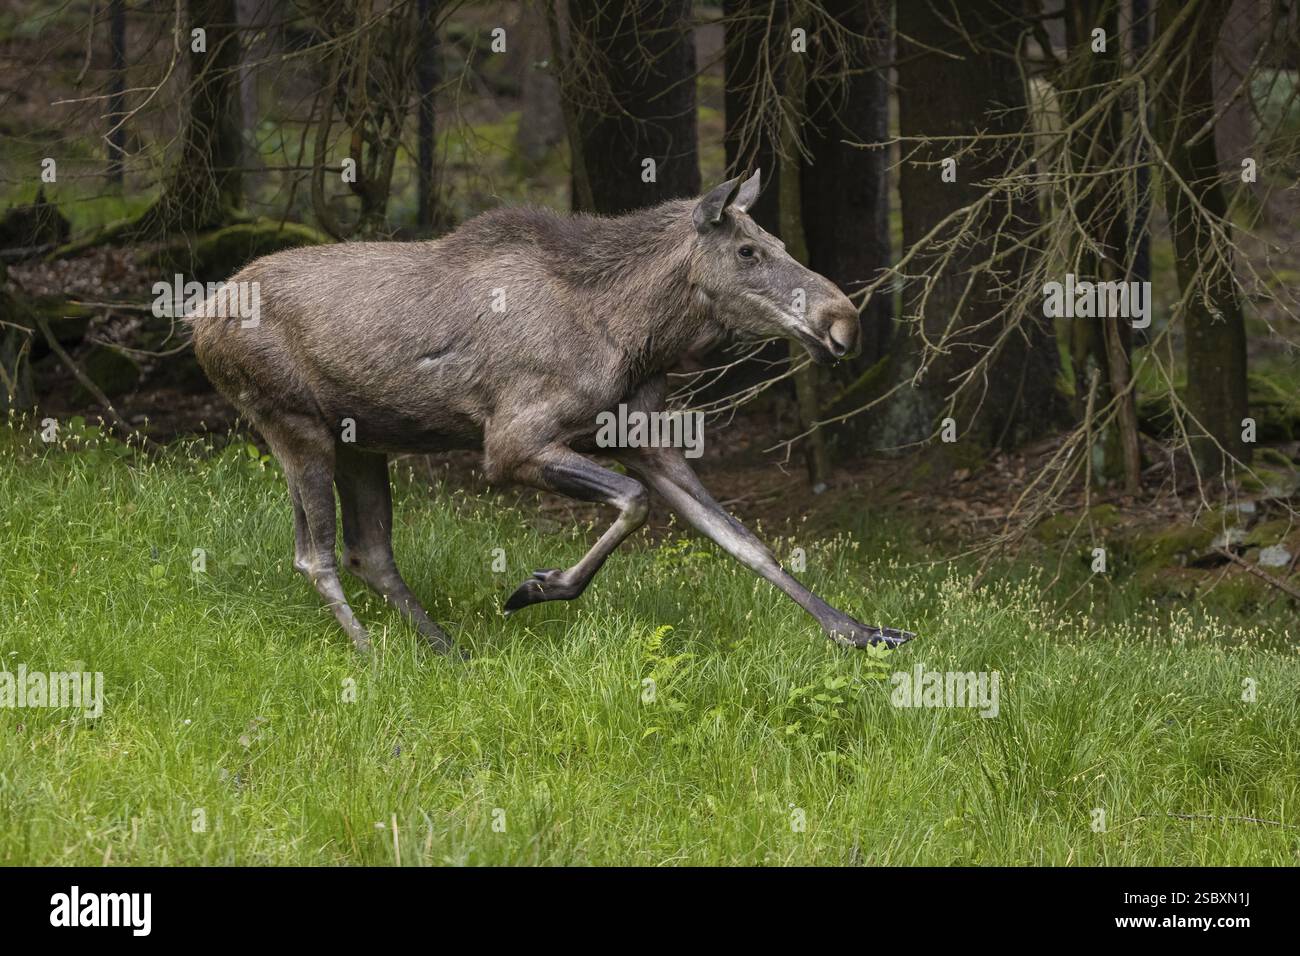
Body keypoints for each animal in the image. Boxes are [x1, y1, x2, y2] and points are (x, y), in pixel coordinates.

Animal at [191, 171, 915, 655]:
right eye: (748, 251)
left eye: (780, 242)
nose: (844, 321)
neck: (637, 334)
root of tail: (198, 316)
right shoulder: (513, 444)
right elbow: (632, 504)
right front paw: (538, 586)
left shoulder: (642, 440)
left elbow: (745, 540)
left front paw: (862, 632)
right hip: (295, 425)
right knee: (315, 556)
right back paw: (371, 655)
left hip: (361, 442)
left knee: (370, 553)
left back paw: (445, 650)